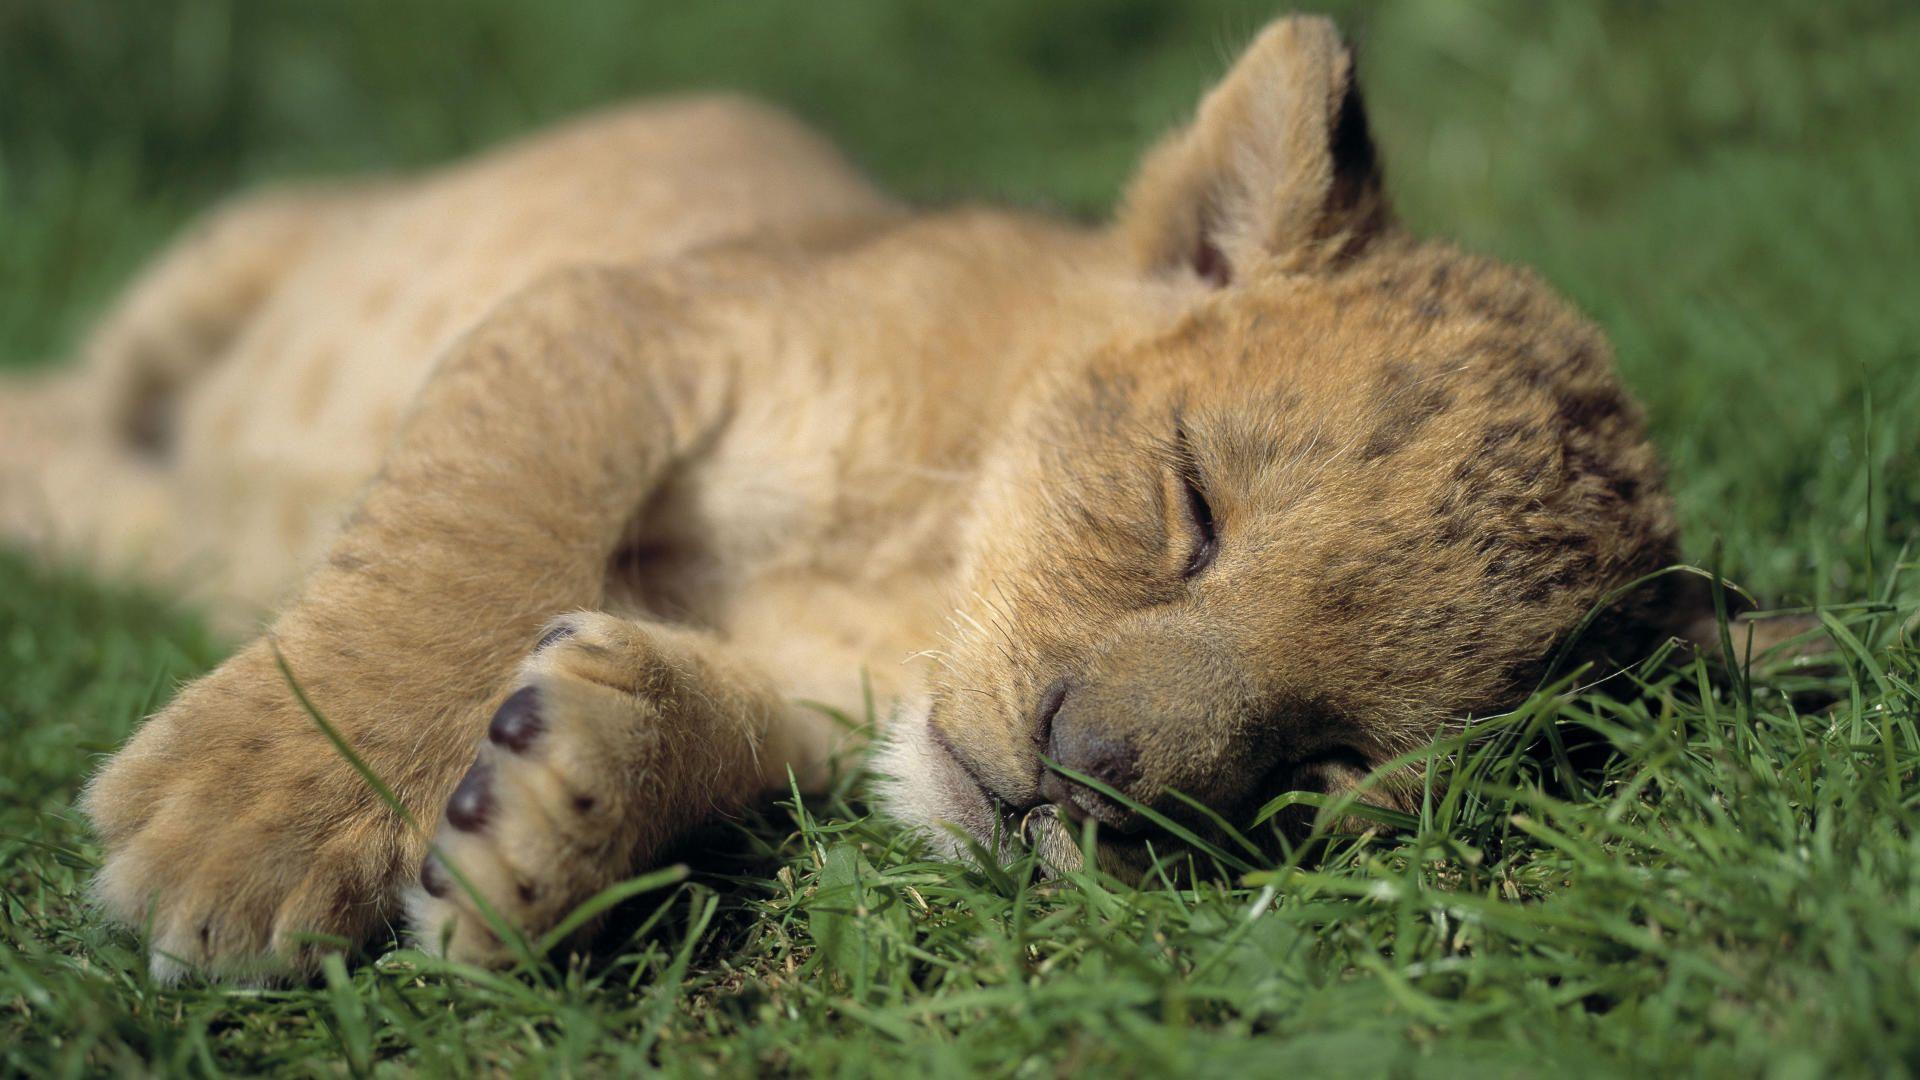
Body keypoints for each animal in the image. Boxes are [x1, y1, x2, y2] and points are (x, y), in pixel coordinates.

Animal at [0, 16, 1685, 979]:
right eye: (1192, 508)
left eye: (1330, 760)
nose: (1088, 782)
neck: (910, 582)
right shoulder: (624, 315)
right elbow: (462, 547)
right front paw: (256, 829)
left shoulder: (818, 710)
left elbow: (708, 720)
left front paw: (554, 806)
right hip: (235, 255)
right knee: (81, 392)